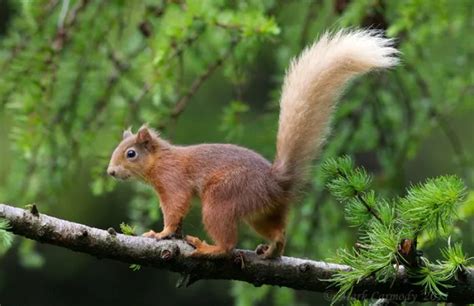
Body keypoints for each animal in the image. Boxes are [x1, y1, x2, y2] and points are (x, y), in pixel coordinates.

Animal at [106, 29, 396, 256]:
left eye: (130, 154)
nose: (110, 172)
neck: (160, 159)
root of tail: (276, 183)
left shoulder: (173, 179)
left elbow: (176, 207)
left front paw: (162, 233)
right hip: (259, 213)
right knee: (278, 231)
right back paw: (272, 249)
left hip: (223, 198)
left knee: (228, 244)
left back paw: (208, 248)